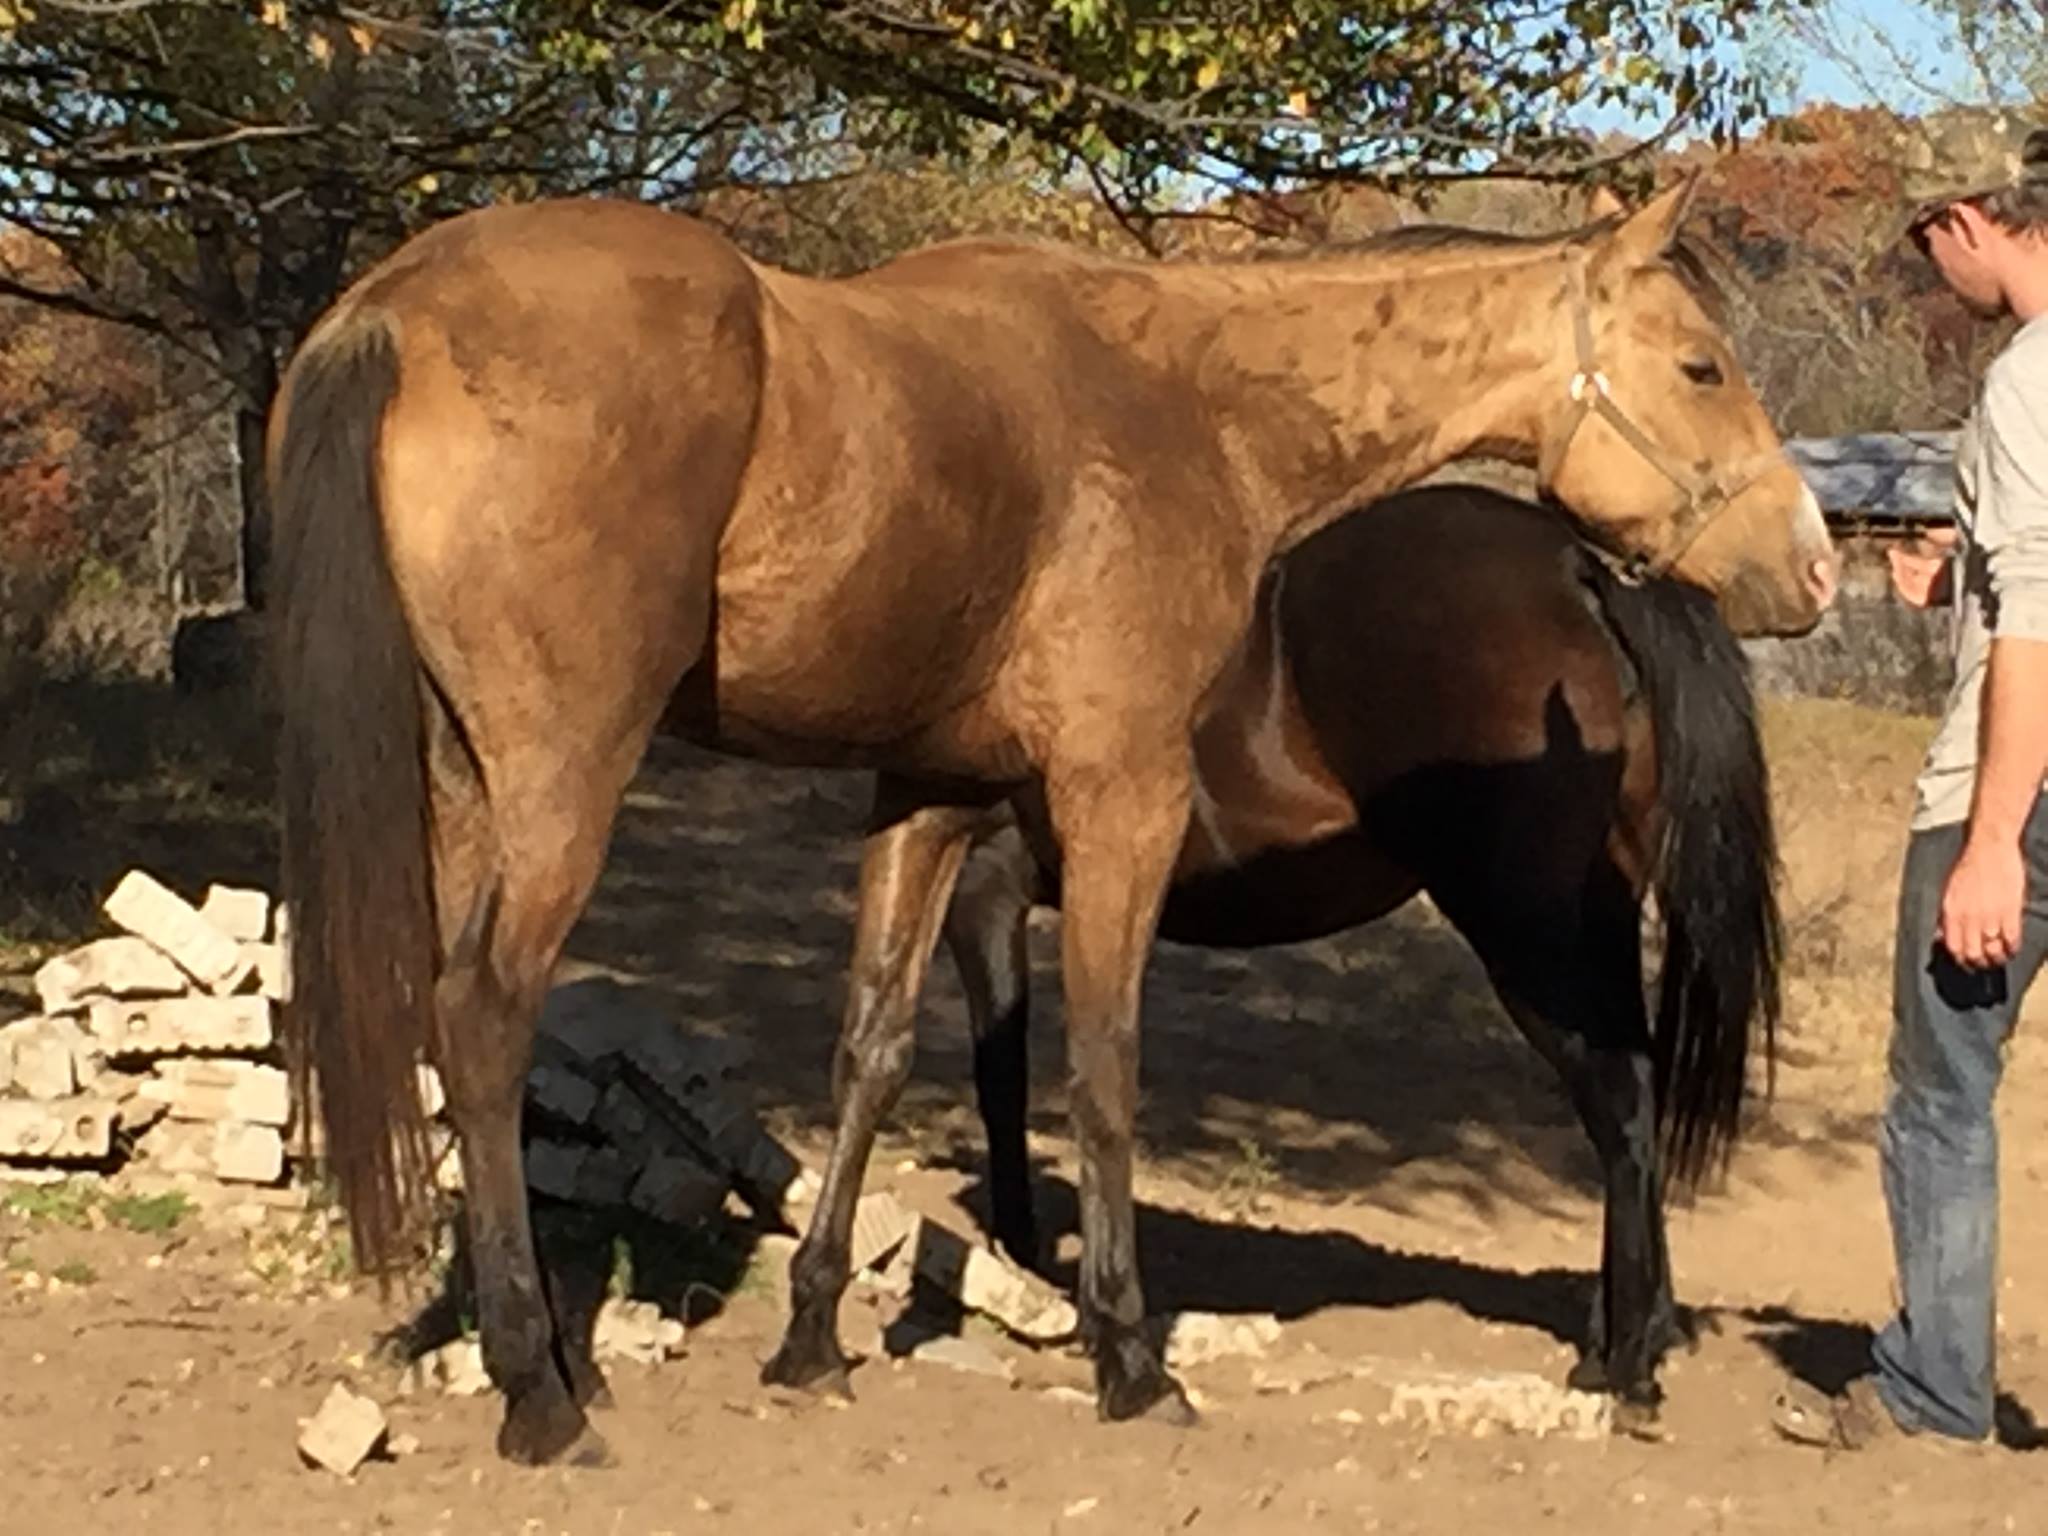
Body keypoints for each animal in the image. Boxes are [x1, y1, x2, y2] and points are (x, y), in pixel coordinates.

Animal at [905, 484, 1778, 1433]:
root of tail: (1572, 566)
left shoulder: (983, 892)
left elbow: (1002, 1080)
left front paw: (1024, 1259)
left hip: (1526, 932)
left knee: (1618, 1103)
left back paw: (1626, 1367)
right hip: (1596, 923)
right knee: (1636, 1096)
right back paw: (1619, 1340)